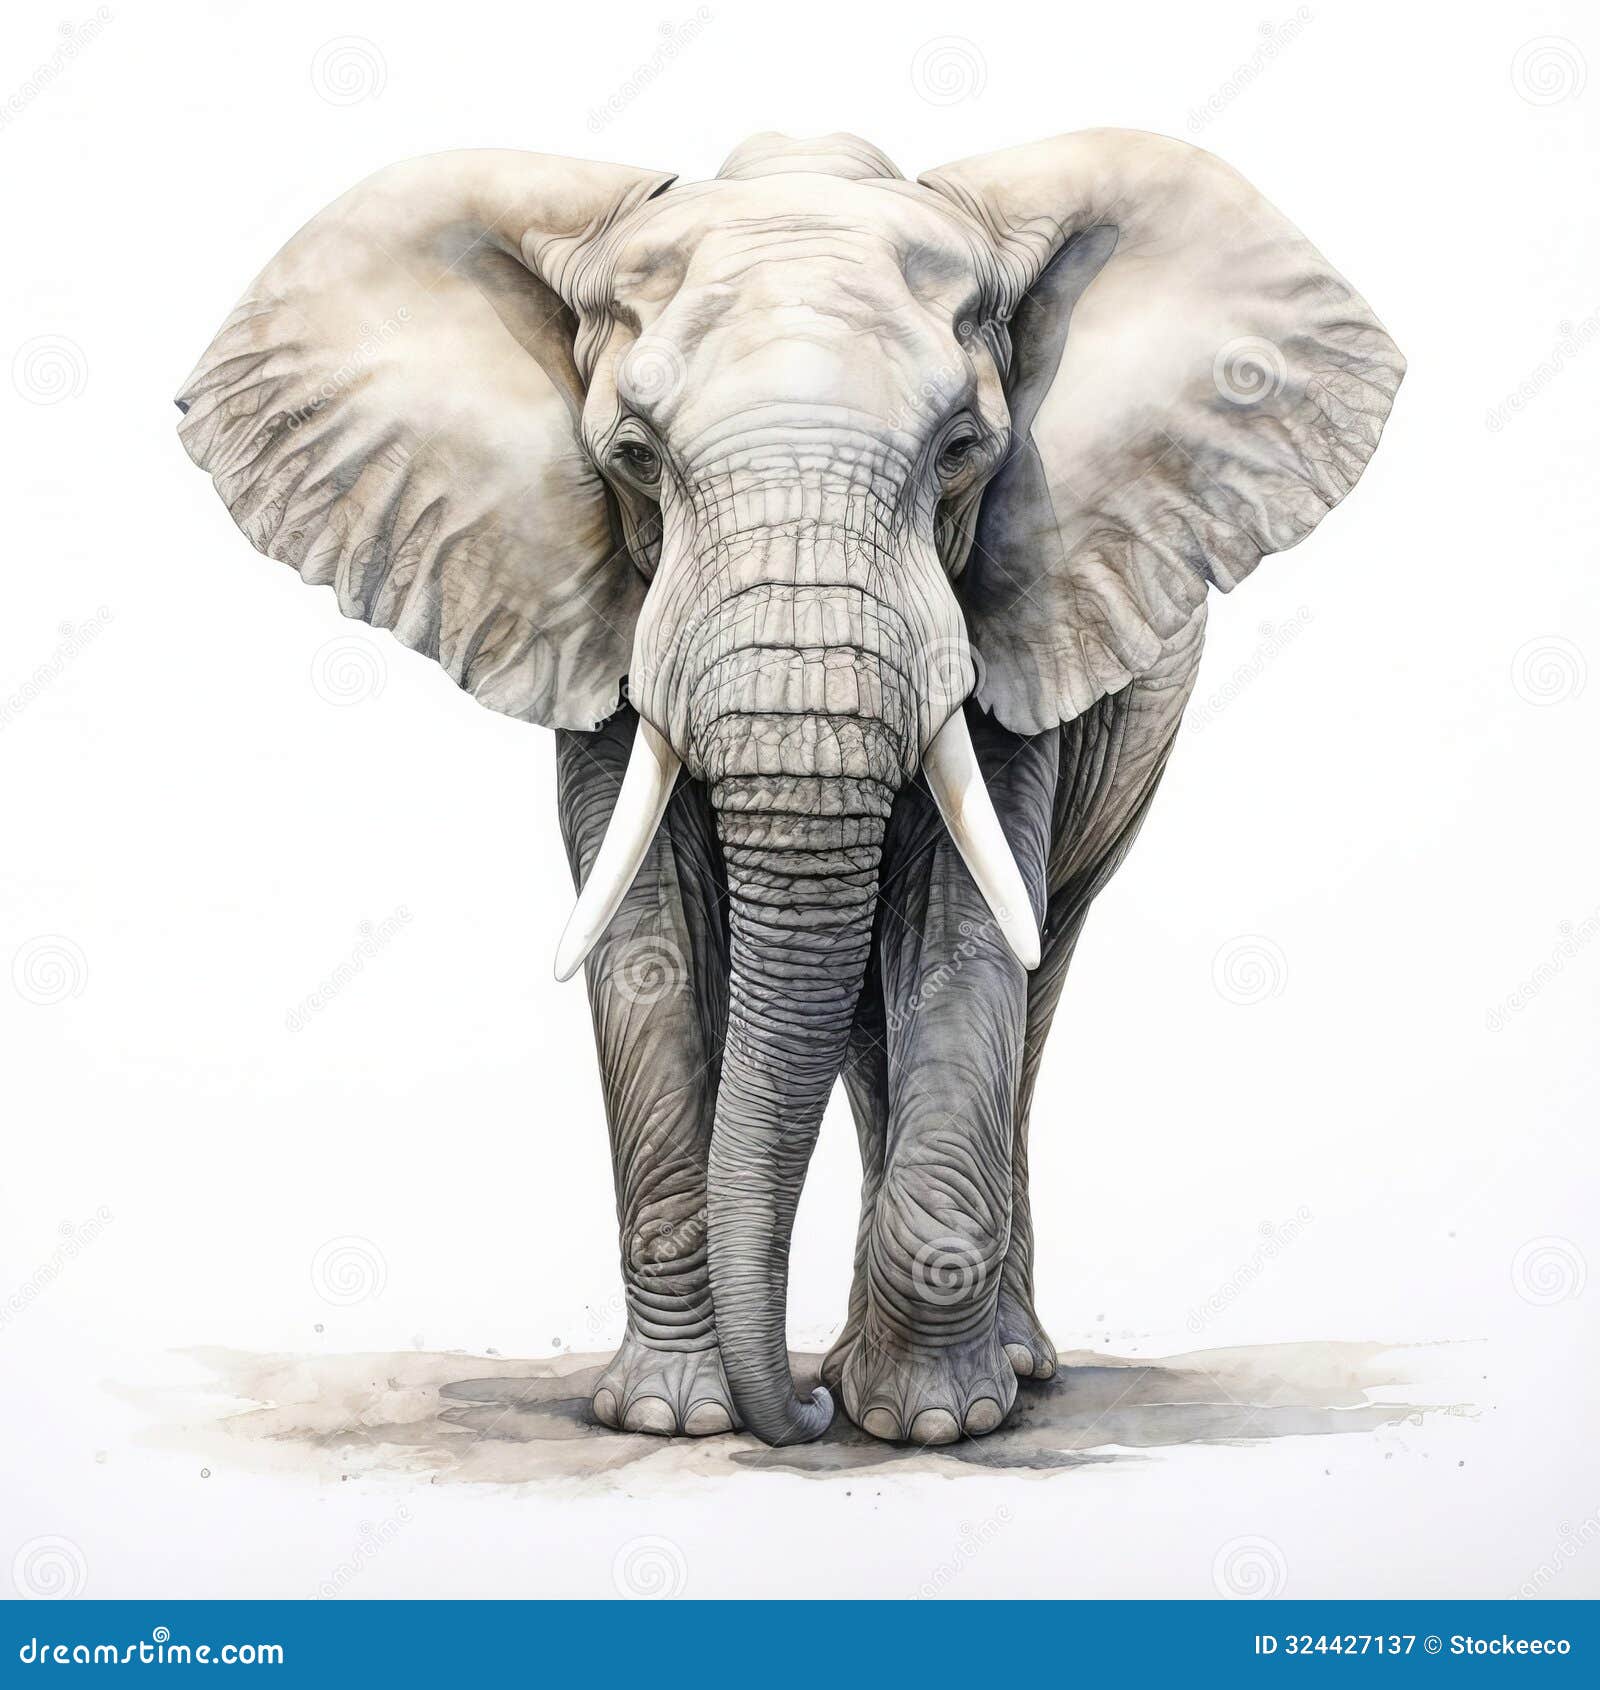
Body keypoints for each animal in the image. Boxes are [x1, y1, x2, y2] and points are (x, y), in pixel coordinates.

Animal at [176, 129, 1403, 1449]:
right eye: (633, 459)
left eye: (962, 453)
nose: (801, 1410)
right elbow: (648, 938)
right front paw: (670, 1416)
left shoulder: (1006, 619)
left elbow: (961, 937)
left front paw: (927, 1425)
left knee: (1033, 971)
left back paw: (1007, 1371)